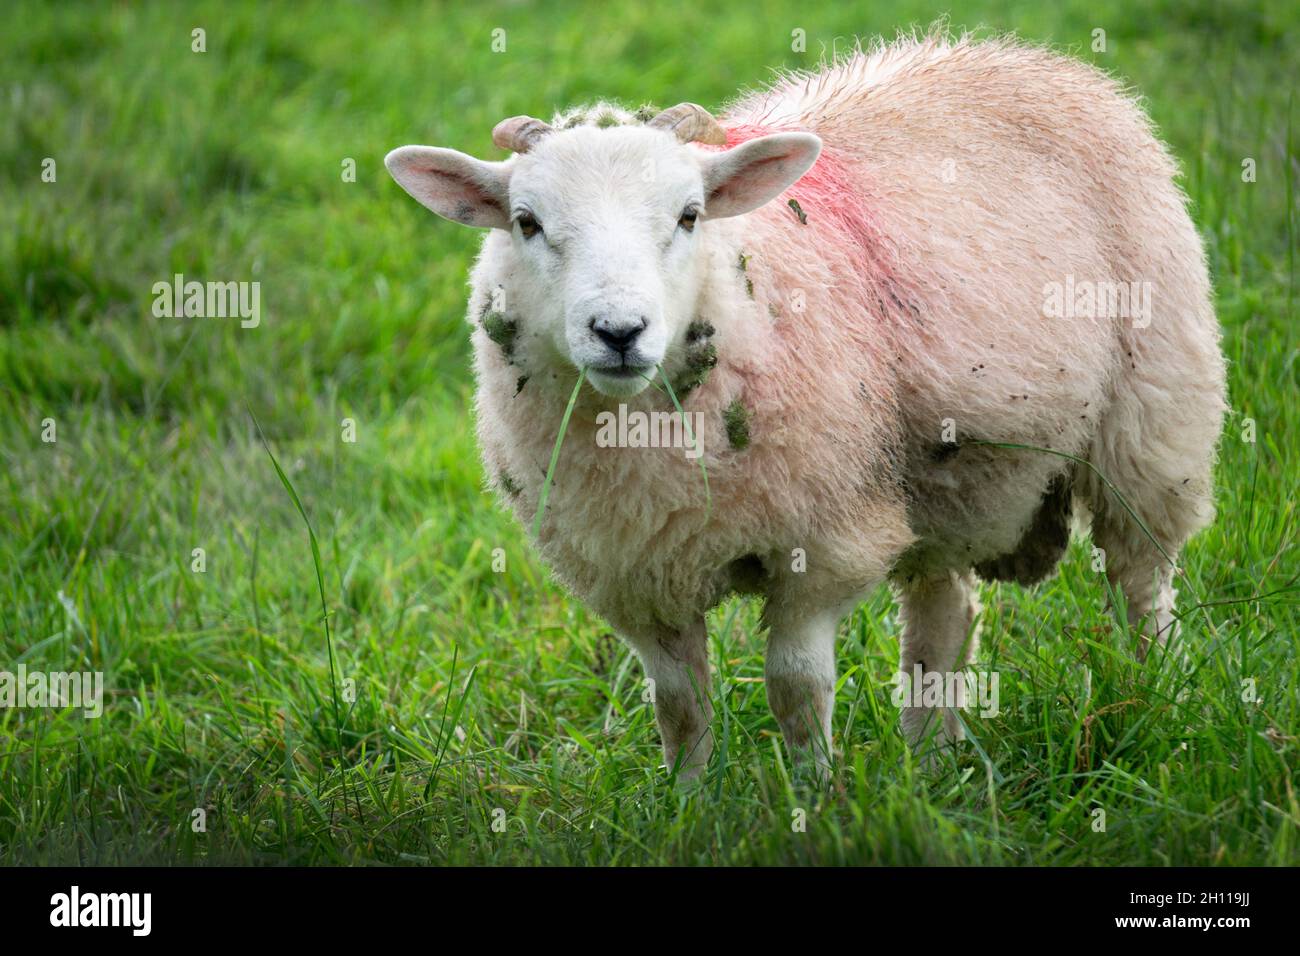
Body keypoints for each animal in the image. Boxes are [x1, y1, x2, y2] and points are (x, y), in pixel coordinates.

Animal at [385, 32, 1227, 780]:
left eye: (690, 215)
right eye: (525, 222)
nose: (619, 332)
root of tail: (1029, 57)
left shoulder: (820, 545)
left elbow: (796, 688)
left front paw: (815, 796)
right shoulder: (634, 573)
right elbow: (679, 706)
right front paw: (688, 804)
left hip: (1154, 417)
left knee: (1141, 580)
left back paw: (1159, 704)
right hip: (938, 476)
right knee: (943, 612)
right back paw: (934, 762)